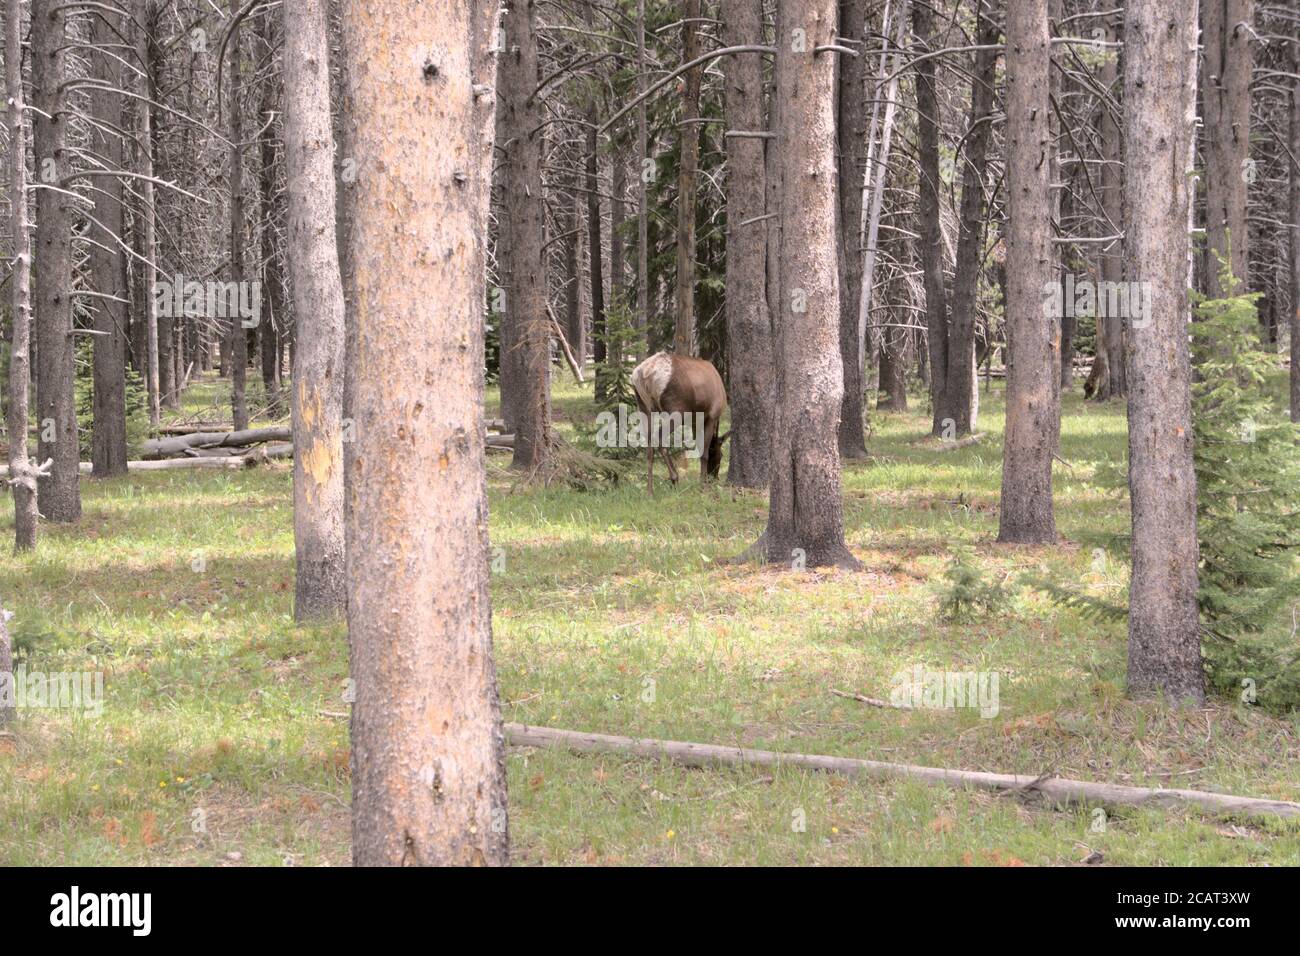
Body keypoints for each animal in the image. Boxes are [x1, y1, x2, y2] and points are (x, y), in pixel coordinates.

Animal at [630, 352, 728, 494]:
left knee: (648, 446)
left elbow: (698, 448)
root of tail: (645, 373)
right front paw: (703, 485)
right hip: (676, 410)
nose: (714, 478)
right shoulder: (711, 416)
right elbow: (704, 452)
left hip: (643, 406)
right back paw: (674, 478)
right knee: (658, 438)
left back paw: (649, 491)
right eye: (720, 455)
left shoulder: (695, 422)